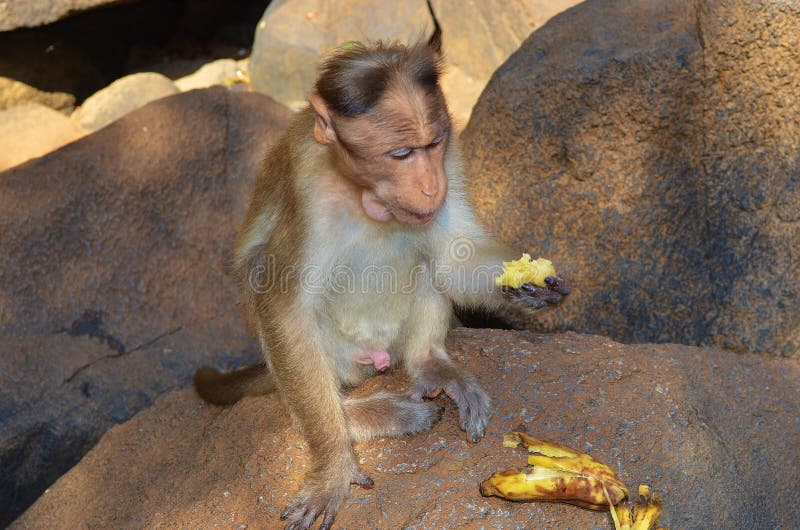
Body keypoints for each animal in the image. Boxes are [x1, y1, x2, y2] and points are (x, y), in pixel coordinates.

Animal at [194, 27, 569, 530]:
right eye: (401, 153)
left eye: (432, 145)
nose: (431, 186)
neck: (361, 191)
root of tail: (377, 355)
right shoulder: (306, 184)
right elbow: (283, 306)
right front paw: (333, 465)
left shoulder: (452, 159)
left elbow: (452, 256)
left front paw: (529, 288)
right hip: (341, 356)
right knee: (263, 279)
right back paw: (360, 418)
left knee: (426, 258)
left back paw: (429, 362)